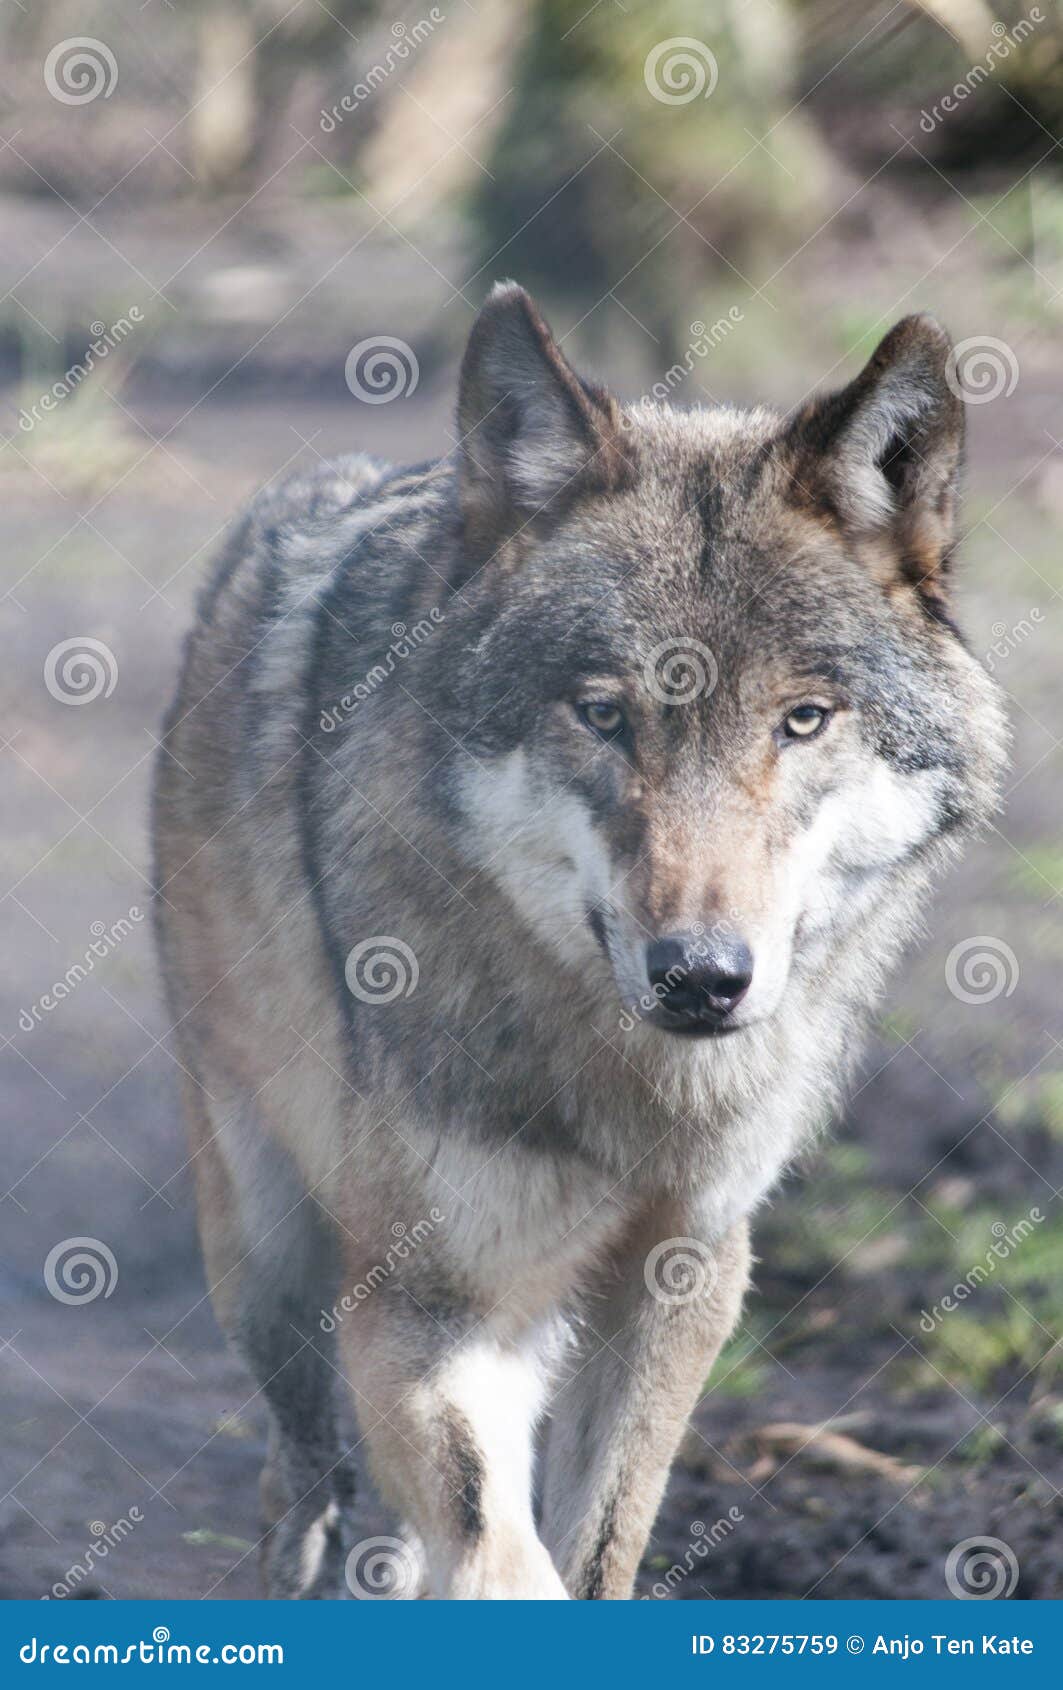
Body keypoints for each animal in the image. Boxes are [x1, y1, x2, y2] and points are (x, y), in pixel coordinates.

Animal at [153, 283, 1006, 1600]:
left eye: (802, 720)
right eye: (603, 715)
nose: (702, 977)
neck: (631, 1090)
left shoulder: (683, 1276)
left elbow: (594, 1547)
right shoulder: (426, 1307)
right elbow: (502, 1553)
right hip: (266, 1248)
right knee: (302, 1466)